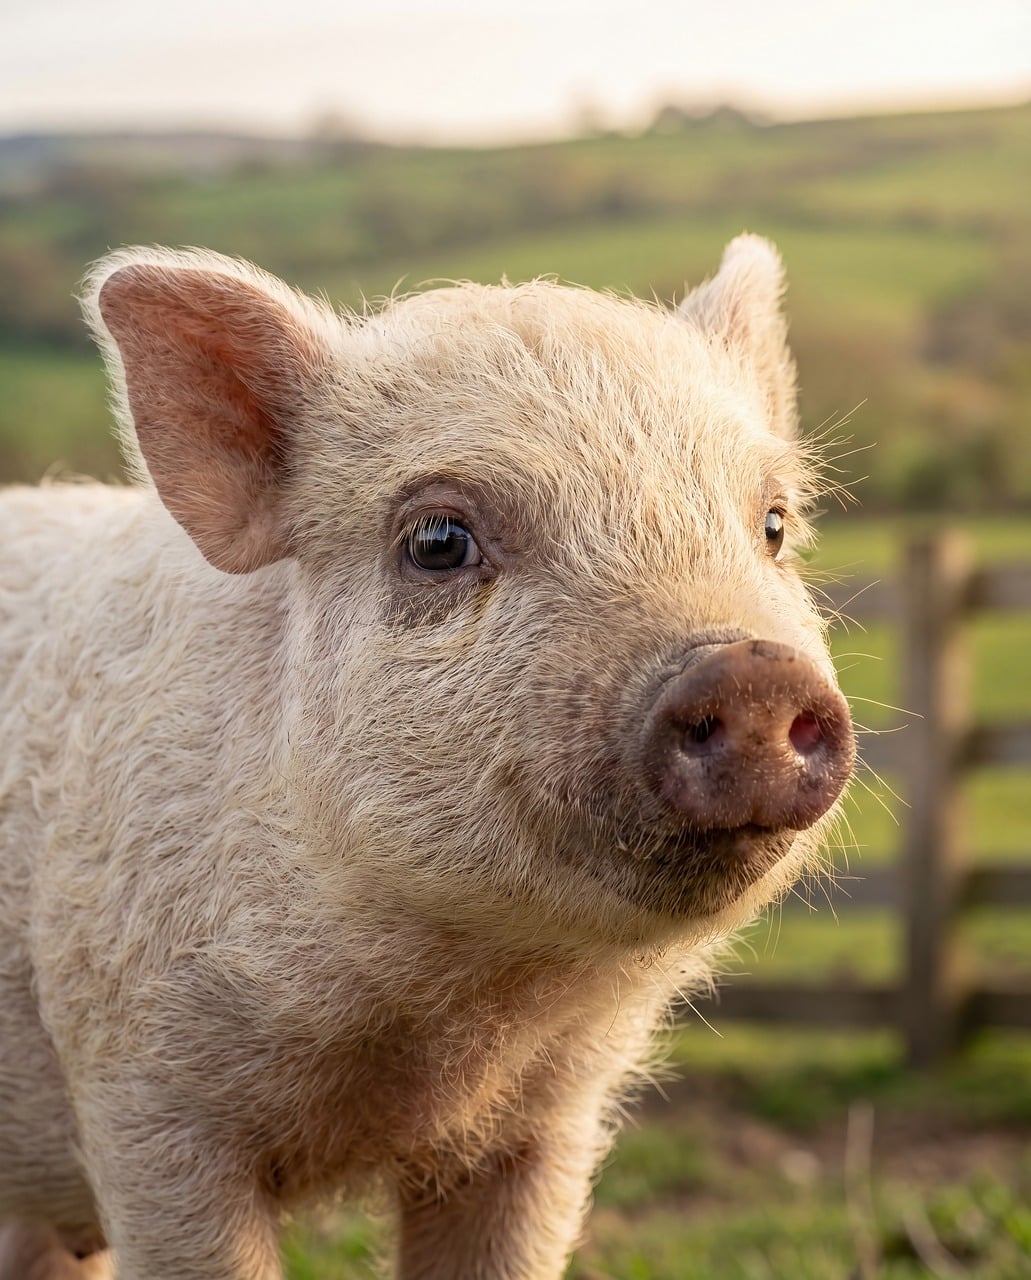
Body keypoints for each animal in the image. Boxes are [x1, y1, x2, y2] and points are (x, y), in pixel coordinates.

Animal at [0, 235, 854, 1280]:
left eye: (772, 525)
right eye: (438, 540)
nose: (750, 669)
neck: (443, 1029)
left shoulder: (548, 1122)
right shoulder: (139, 1086)